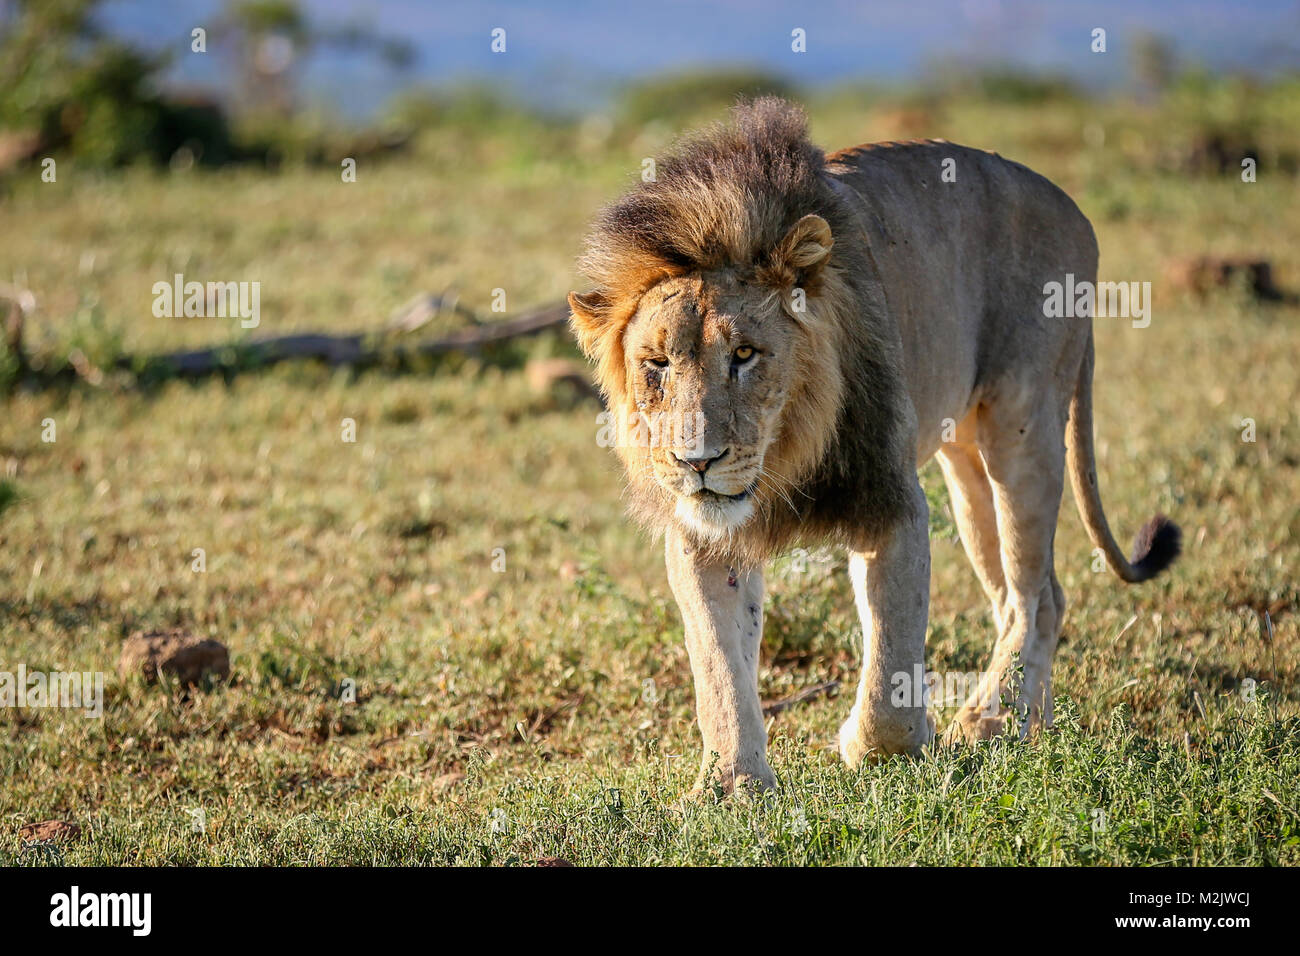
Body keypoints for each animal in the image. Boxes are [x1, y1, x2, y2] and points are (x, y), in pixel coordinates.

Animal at [568, 98, 1180, 794]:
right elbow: (720, 671)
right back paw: (1028, 723)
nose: (698, 462)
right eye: (658, 363)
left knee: (1038, 596)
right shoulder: (703, 537)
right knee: (1018, 594)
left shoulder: (891, 503)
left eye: (745, 354)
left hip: (1022, 425)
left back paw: (989, 723)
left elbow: (892, 651)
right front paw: (733, 789)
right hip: (965, 462)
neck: (786, 455)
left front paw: (886, 751)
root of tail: (1073, 207)